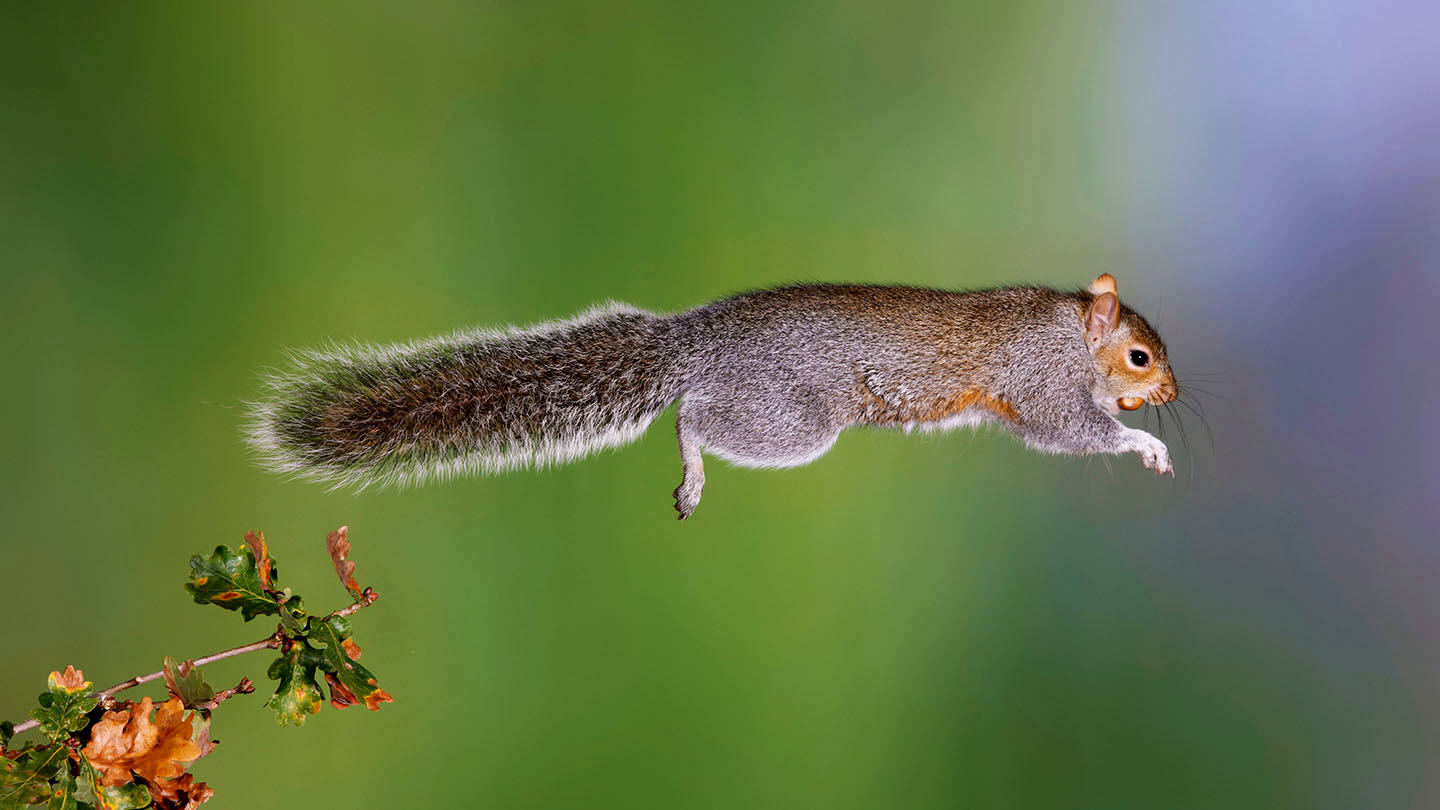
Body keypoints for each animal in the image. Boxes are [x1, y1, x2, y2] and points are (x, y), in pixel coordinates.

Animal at [248, 273, 1179, 519]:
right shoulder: (1042, 385)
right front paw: (1147, 442)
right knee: (693, 417)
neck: (1067, 329)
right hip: (793, 419)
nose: (1168, 389)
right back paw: (693, 474)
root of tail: (692, 342)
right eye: (1139, 355)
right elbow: (1070, 432)